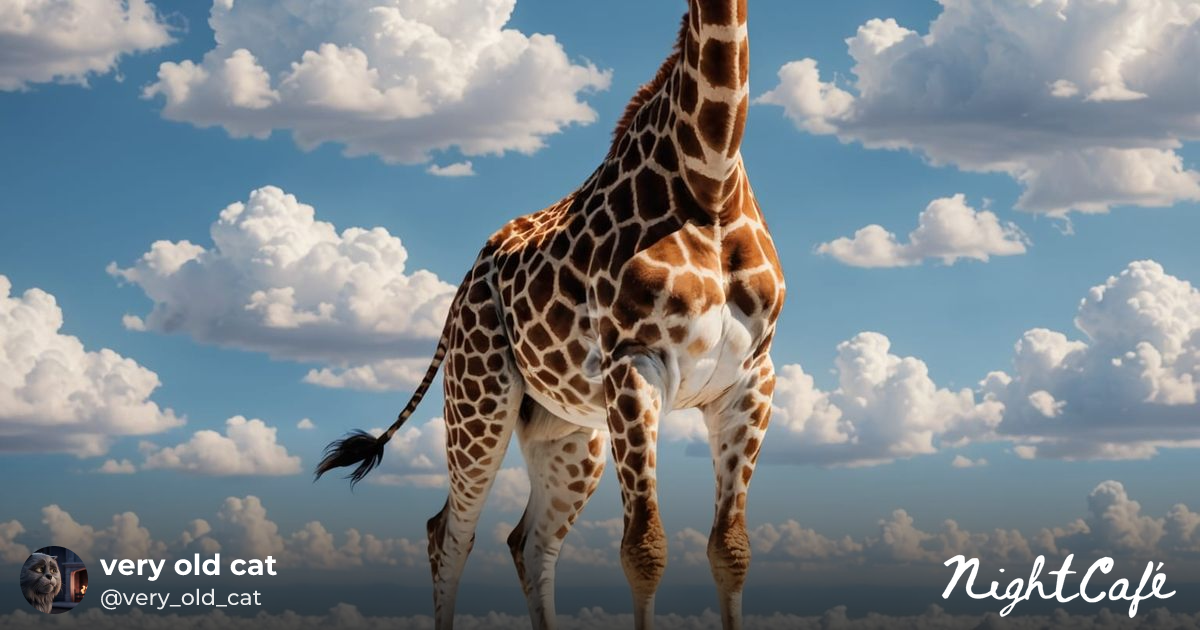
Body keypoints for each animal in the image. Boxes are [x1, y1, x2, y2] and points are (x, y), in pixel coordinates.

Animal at [316, 1, 784, 628]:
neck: (710, 178)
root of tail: (464, 287)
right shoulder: (634, 364)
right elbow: (644, 549)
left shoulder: (751, 379)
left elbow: (730, 550)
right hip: (478, 399)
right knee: (448, 533)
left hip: (567, 432)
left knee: (528, 541)